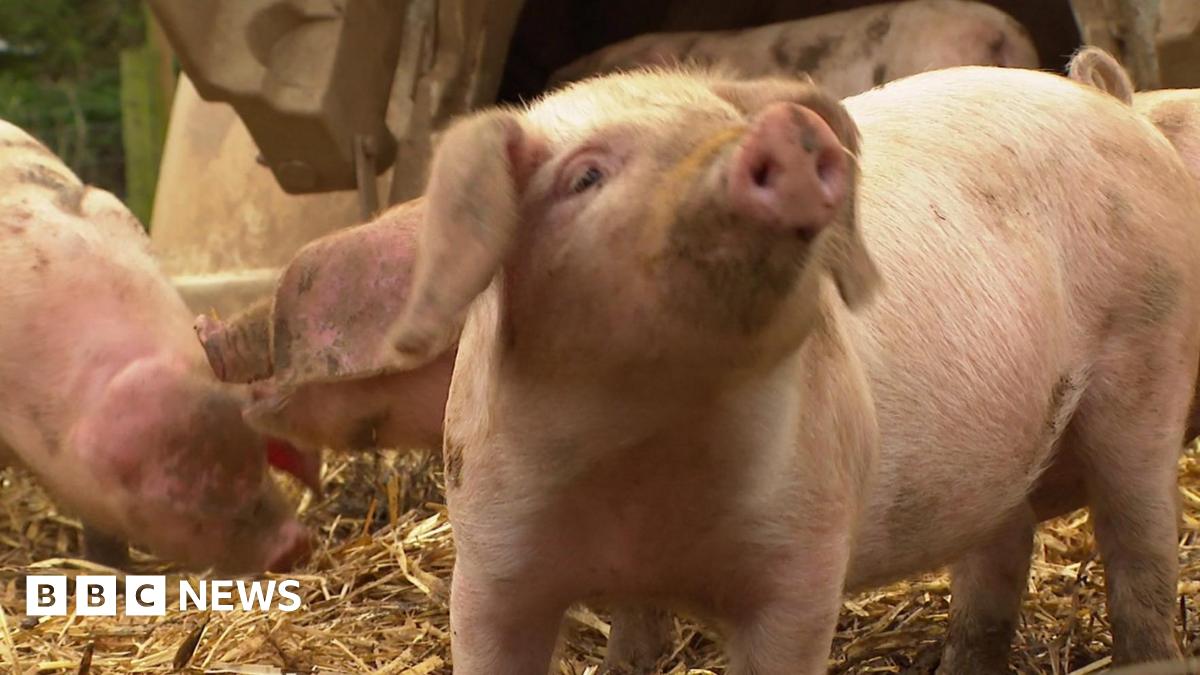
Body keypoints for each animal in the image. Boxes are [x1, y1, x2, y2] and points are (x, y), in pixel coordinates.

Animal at [371, 64, 1200, 675]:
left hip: (1147, 360)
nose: (776, 133)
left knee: (1140, 547)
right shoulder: (490, 552)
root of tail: (1113, 103)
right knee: (1001, 557)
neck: (645, 461)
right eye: (586, 176)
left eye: (723, 123)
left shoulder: (804, 550)